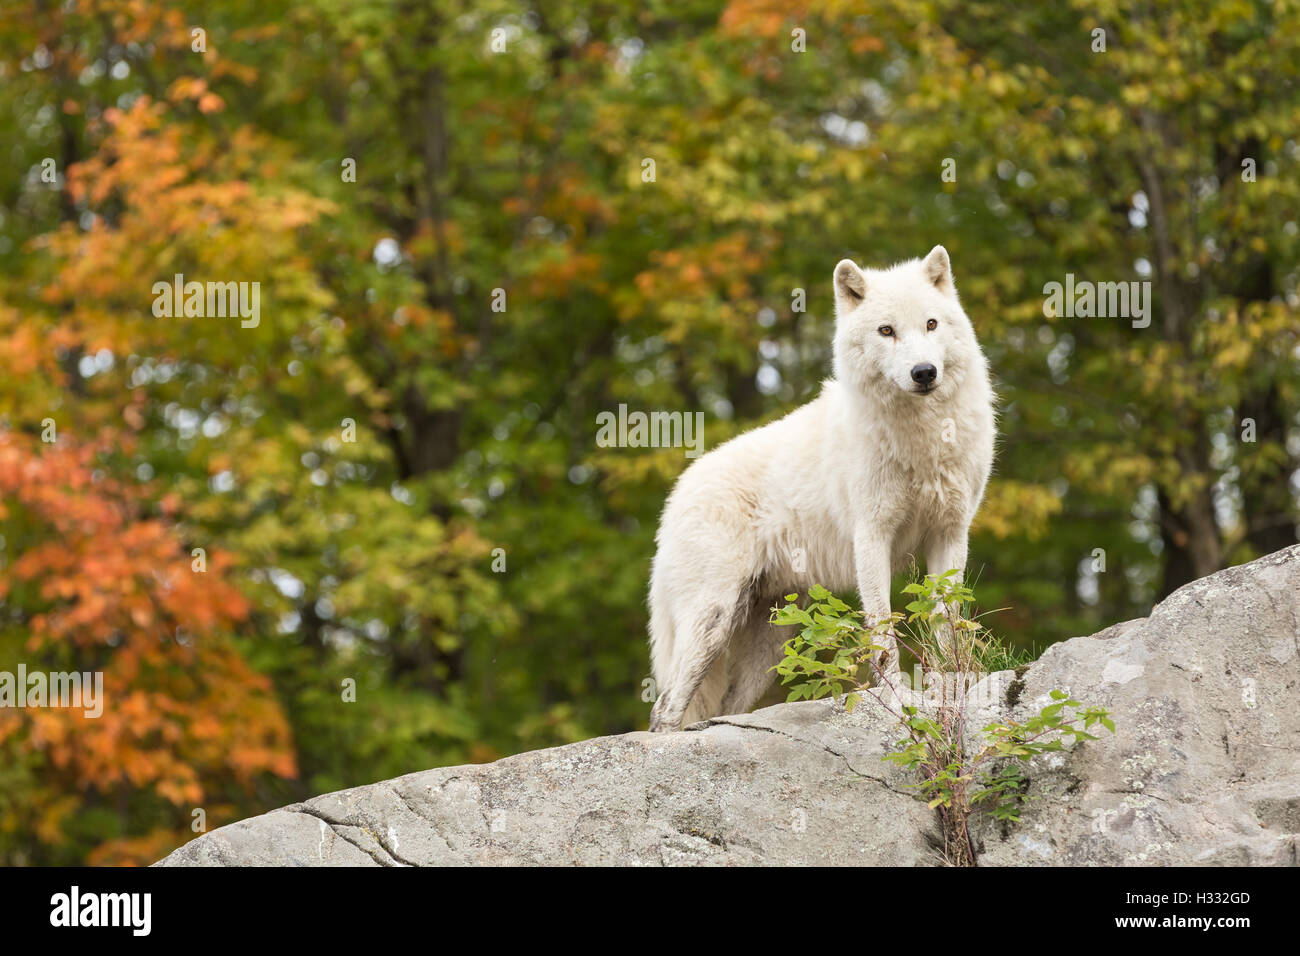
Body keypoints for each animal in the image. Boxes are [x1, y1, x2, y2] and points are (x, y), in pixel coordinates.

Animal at [647, 246, 995, 732]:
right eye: (886, 331)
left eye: (931, 324)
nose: (924, 372)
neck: (922, 439)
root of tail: (677, 493)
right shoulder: (871, 537)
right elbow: (883, 632)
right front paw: (901, 699)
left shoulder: (950, 533)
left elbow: (946, 623)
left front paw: (948, 688)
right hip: (711, 621)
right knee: (663, 709)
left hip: (771, 644)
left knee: (724, 708)